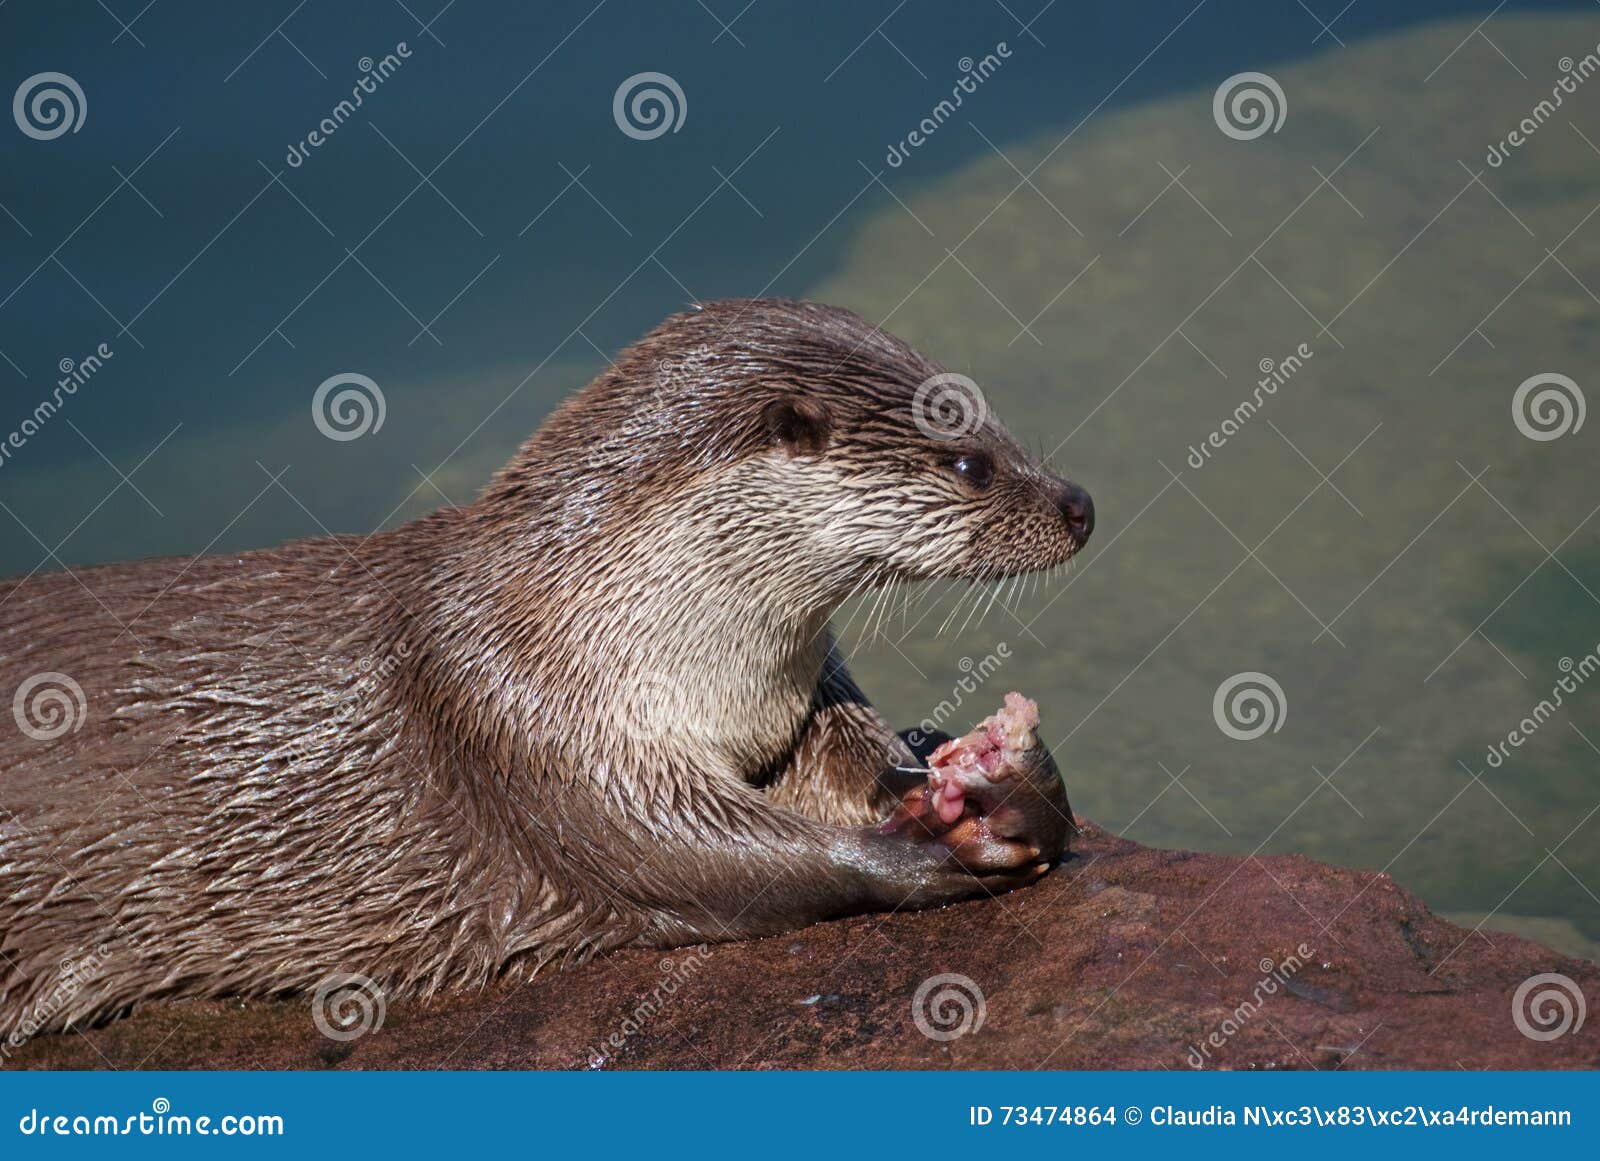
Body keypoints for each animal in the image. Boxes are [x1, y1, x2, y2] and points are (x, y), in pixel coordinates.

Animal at [0, 299, 1092, 1038]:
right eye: (968, 464)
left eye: (995, 424)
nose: (1079, 503)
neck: (602, 624)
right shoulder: (519, 719)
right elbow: (699, 856)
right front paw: (934, 853)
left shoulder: (802, 694)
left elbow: (848, 761)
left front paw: (993, 780)